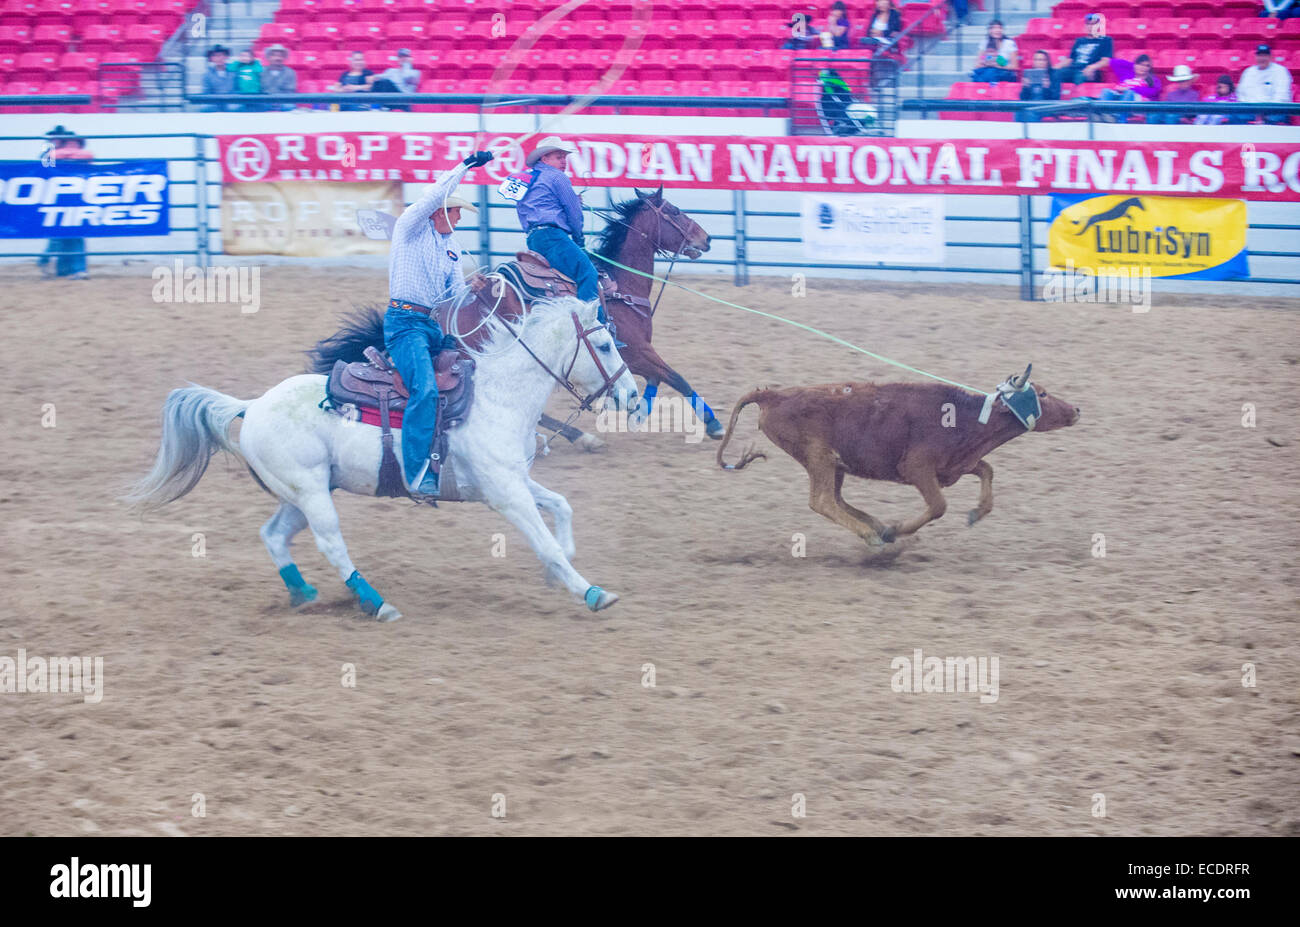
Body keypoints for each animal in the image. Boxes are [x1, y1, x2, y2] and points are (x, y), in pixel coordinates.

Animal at [716, 369, 1080, 546]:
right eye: (1043, 393)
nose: (1076, 409)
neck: (965, 418)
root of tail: (772, 395)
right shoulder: (917, 468)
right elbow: (938, 506)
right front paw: (897, 531)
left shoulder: (956, 464)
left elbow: (987, 470)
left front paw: (977, 512)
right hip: (818, 456)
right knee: (822, 500)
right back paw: (875, 536)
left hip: (835, 464)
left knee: (835, 499)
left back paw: (876, 526)